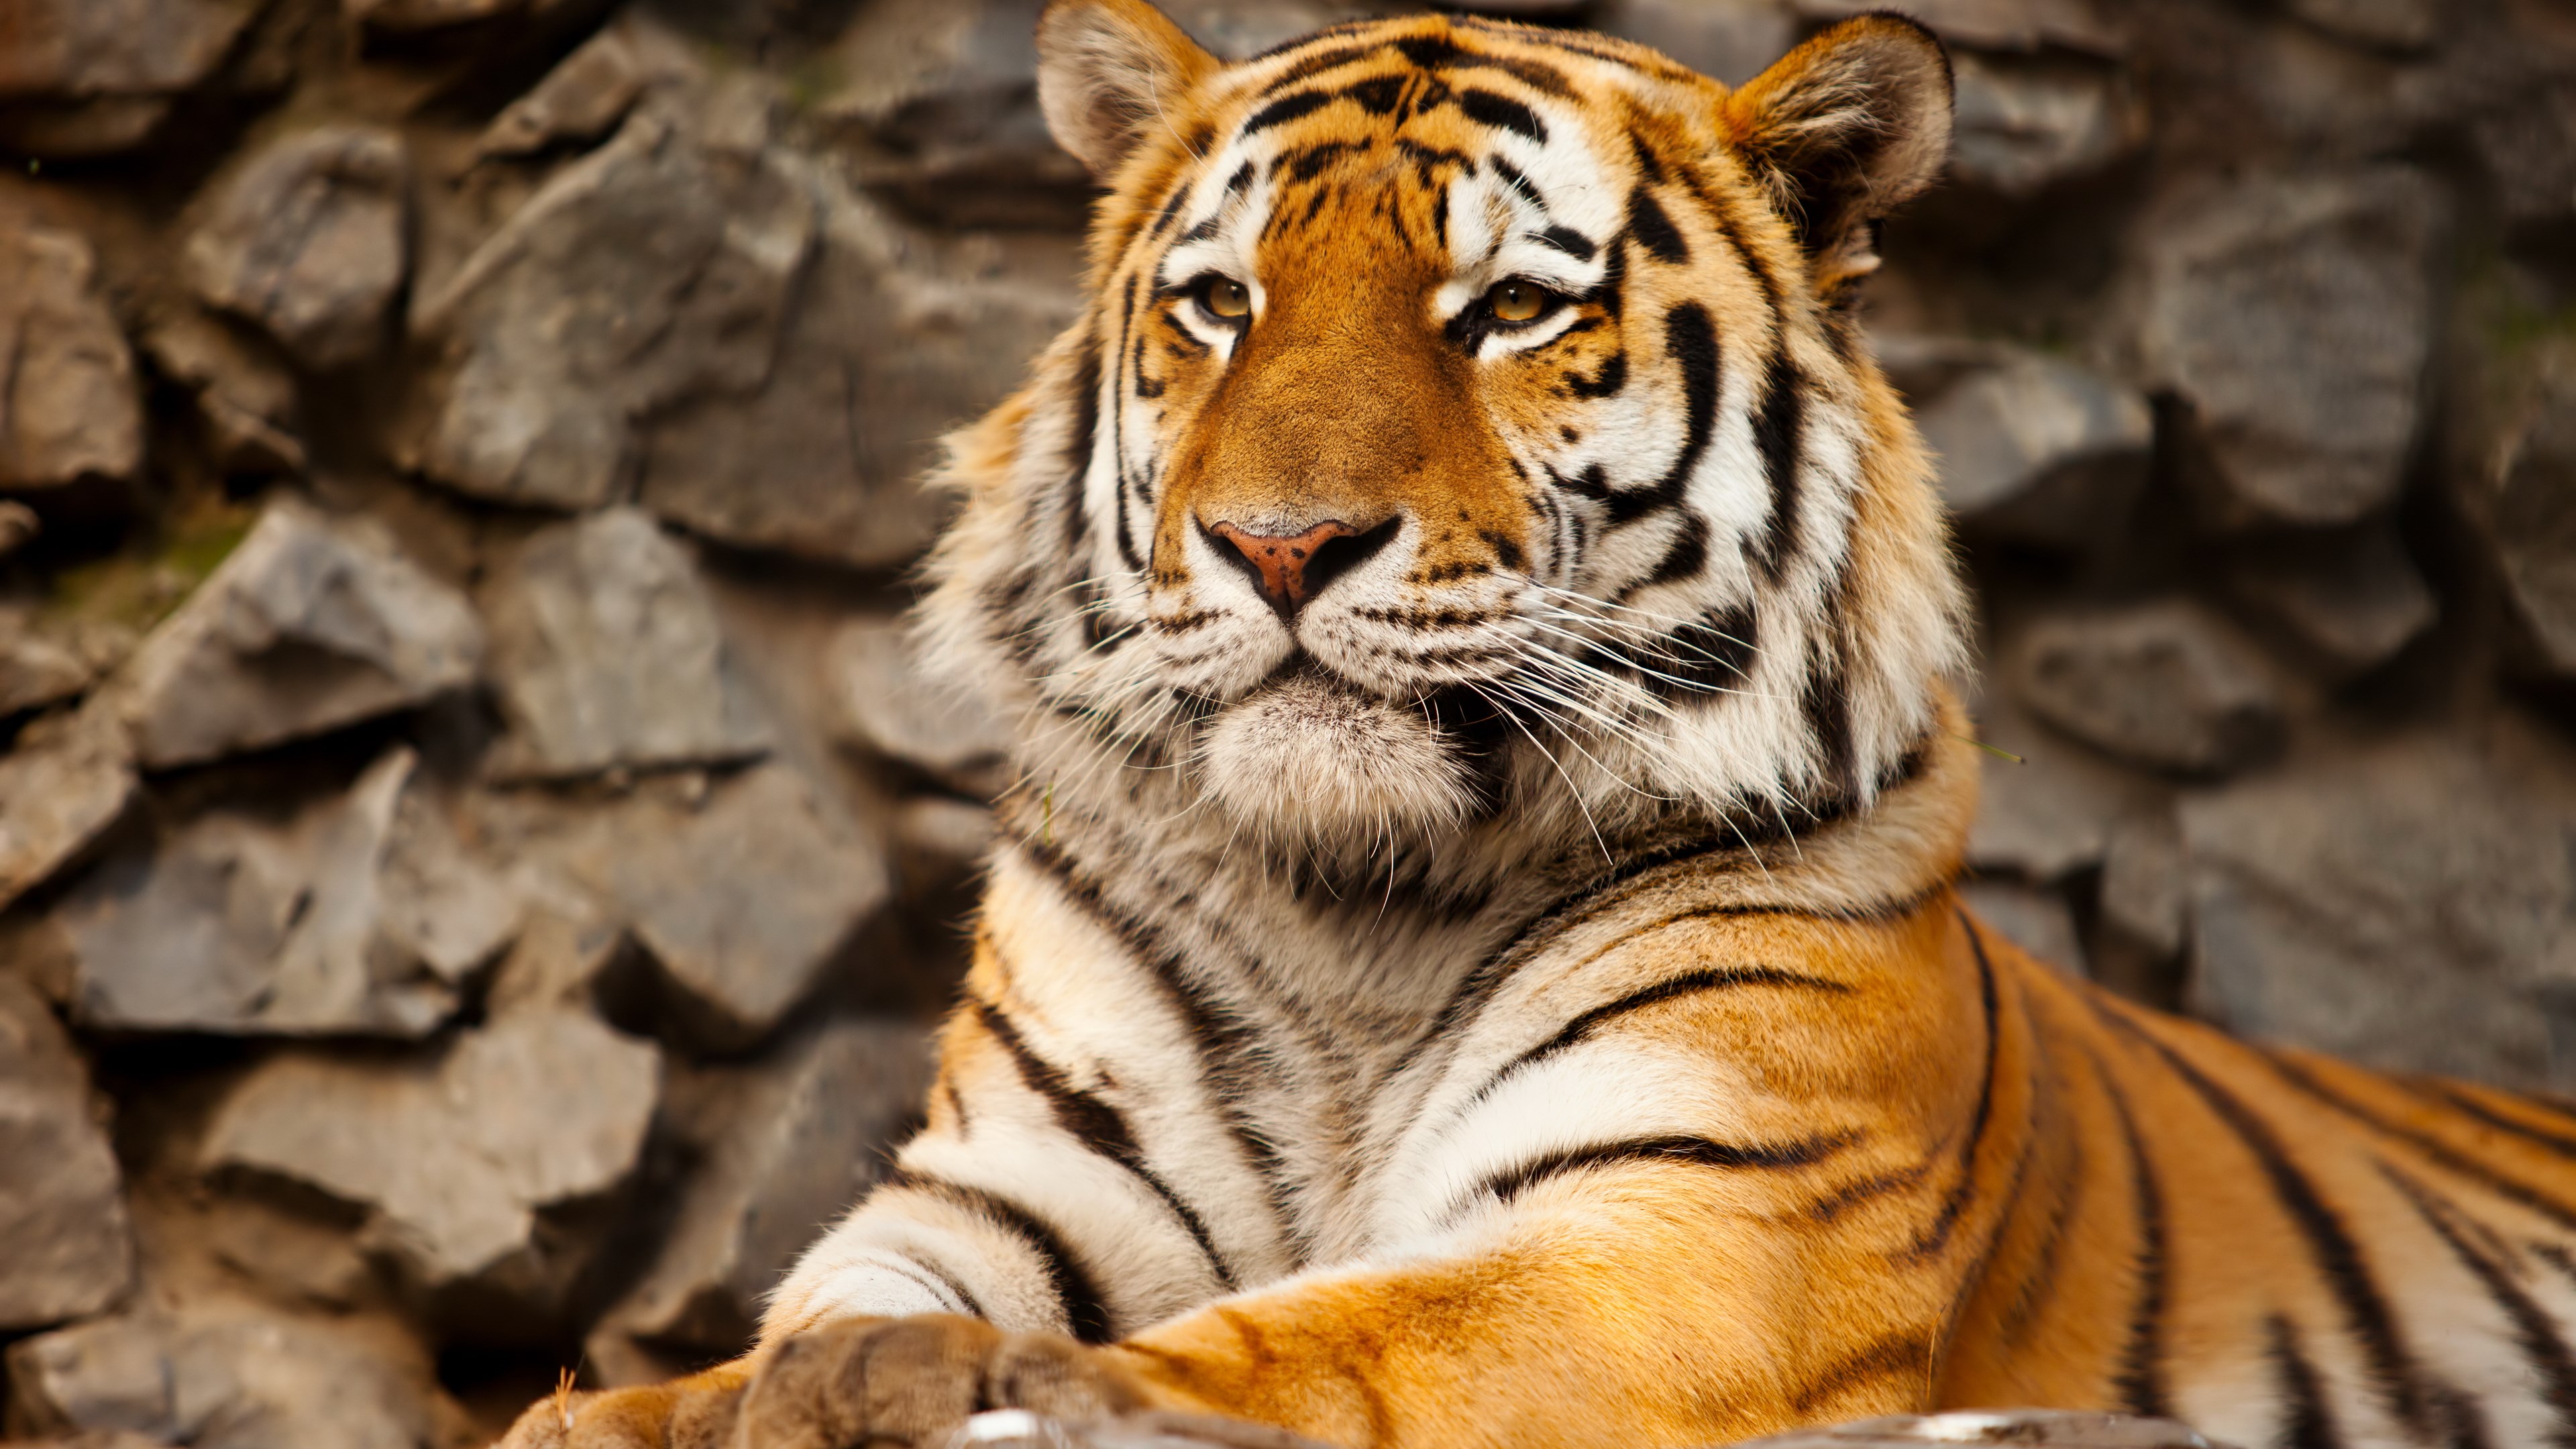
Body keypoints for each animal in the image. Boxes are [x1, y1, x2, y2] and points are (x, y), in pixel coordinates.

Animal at [499, 4, 2576, 1448]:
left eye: (1504, 308)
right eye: (1218, 302)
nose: (1278, 544)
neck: (1355, 906)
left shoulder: (1688, 1226)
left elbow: (1325, 1339)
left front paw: (996, 1386)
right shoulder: (1017, 1175)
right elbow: (821, 1310)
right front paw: (688, 1398)